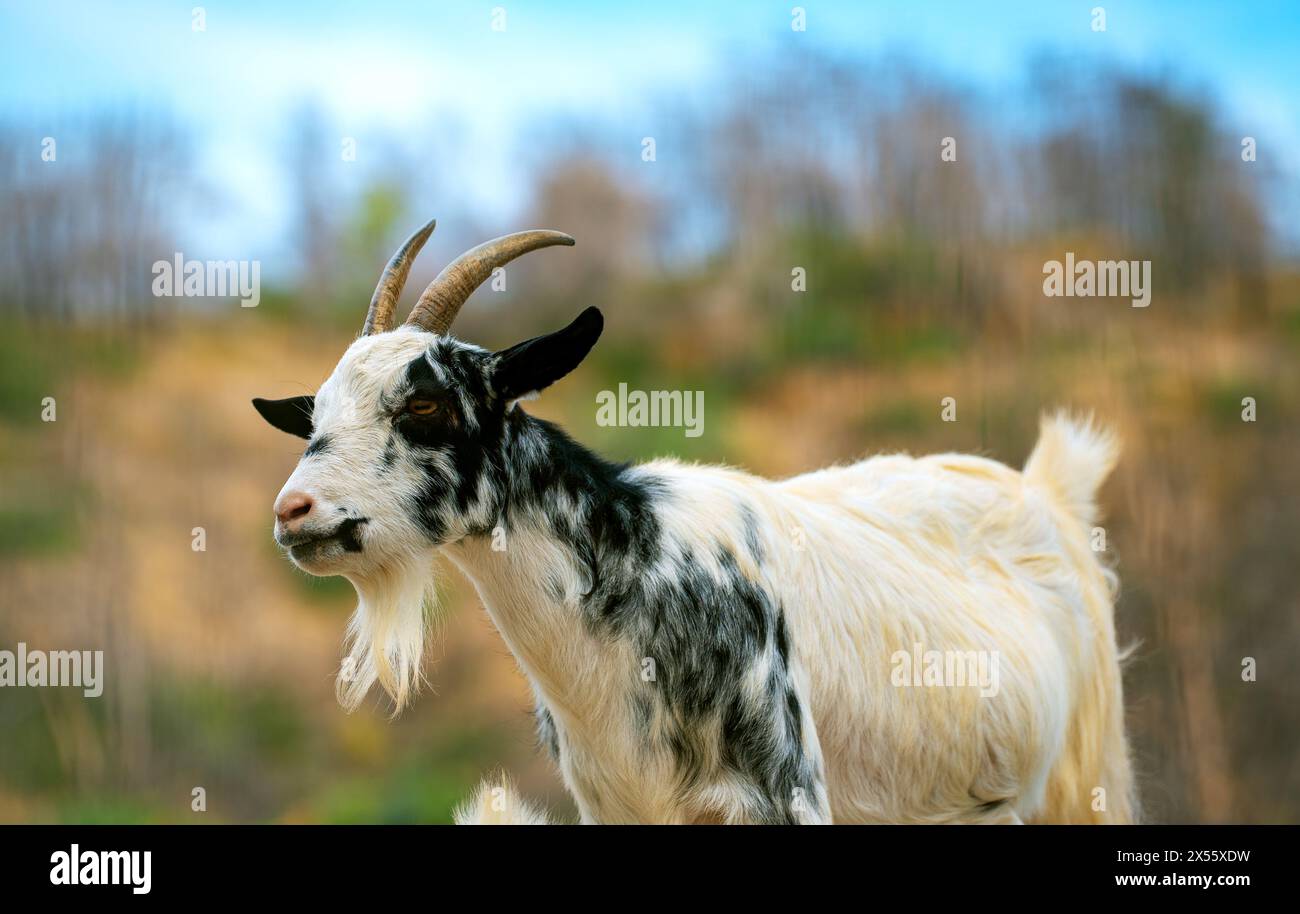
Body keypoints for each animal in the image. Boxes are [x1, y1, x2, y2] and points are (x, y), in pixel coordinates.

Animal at [253, 219, 1136, 824]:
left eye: (426, 403)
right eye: (314, 416)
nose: (293, 512)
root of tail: (1049, 487)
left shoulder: (787, 792)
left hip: (1085, 778)